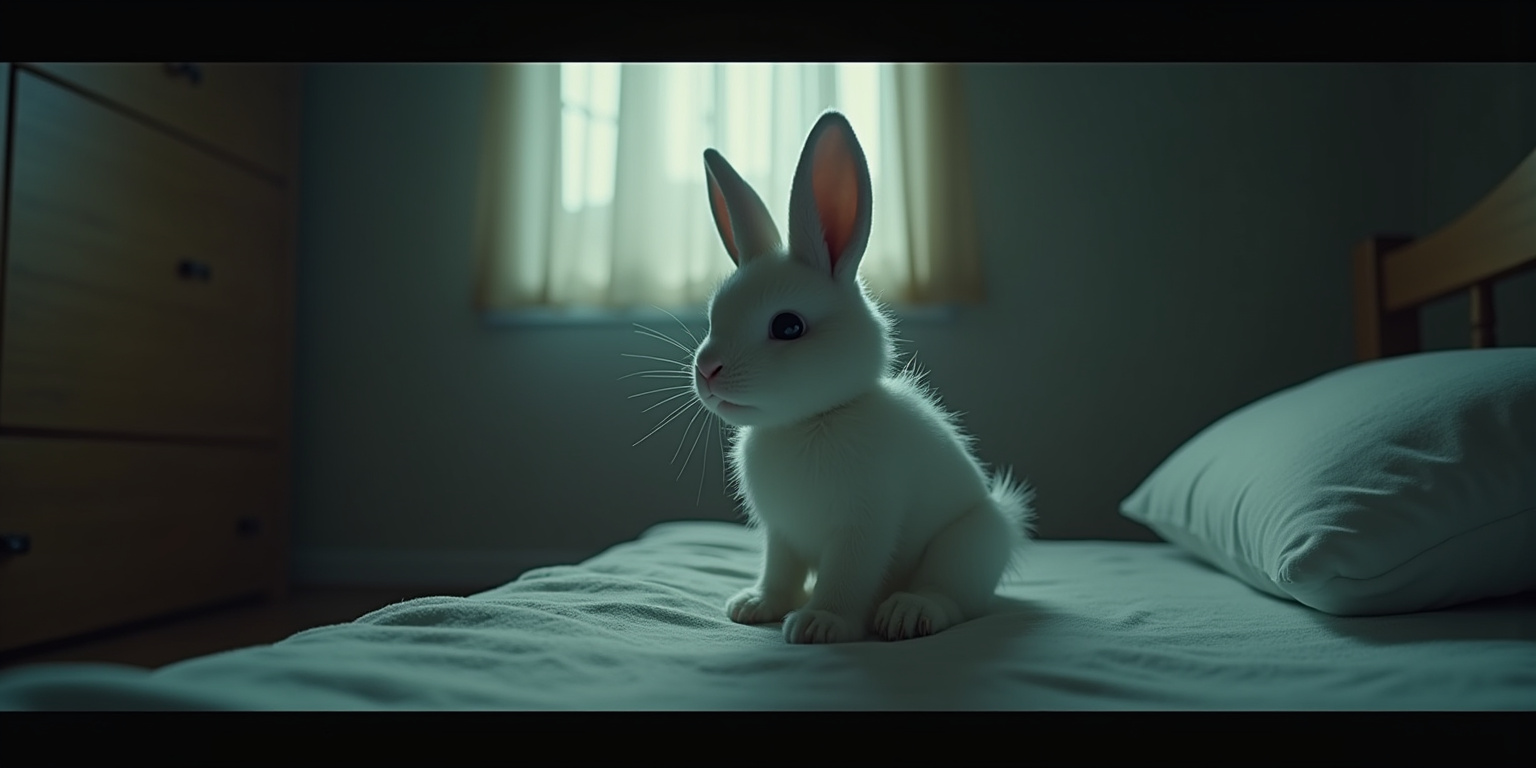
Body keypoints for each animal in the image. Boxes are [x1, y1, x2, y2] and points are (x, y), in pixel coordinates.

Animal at [693, 109, 1034, 644]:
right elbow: (779, 572)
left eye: (787, 326)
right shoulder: (781, 533)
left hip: (971, 541)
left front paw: (819, 624)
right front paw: (756, 606)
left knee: (953, 599)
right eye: (713, 317)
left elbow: (845, 578)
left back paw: (906, 614)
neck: (808, 421)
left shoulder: (863, 527)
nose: (706, 370)